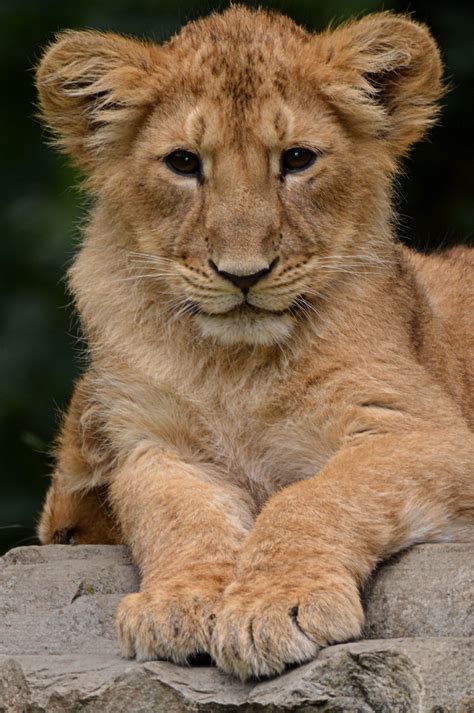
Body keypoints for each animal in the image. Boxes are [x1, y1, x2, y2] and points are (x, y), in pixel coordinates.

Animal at [35, 6, 474, 679]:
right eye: (183, 162)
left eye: (297, 158)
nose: (243, 274)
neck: (232, 368)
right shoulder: (155, 444)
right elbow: (176, 517)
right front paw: (178, 602)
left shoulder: (423, 429)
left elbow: (315, 498)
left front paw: (273, 604)